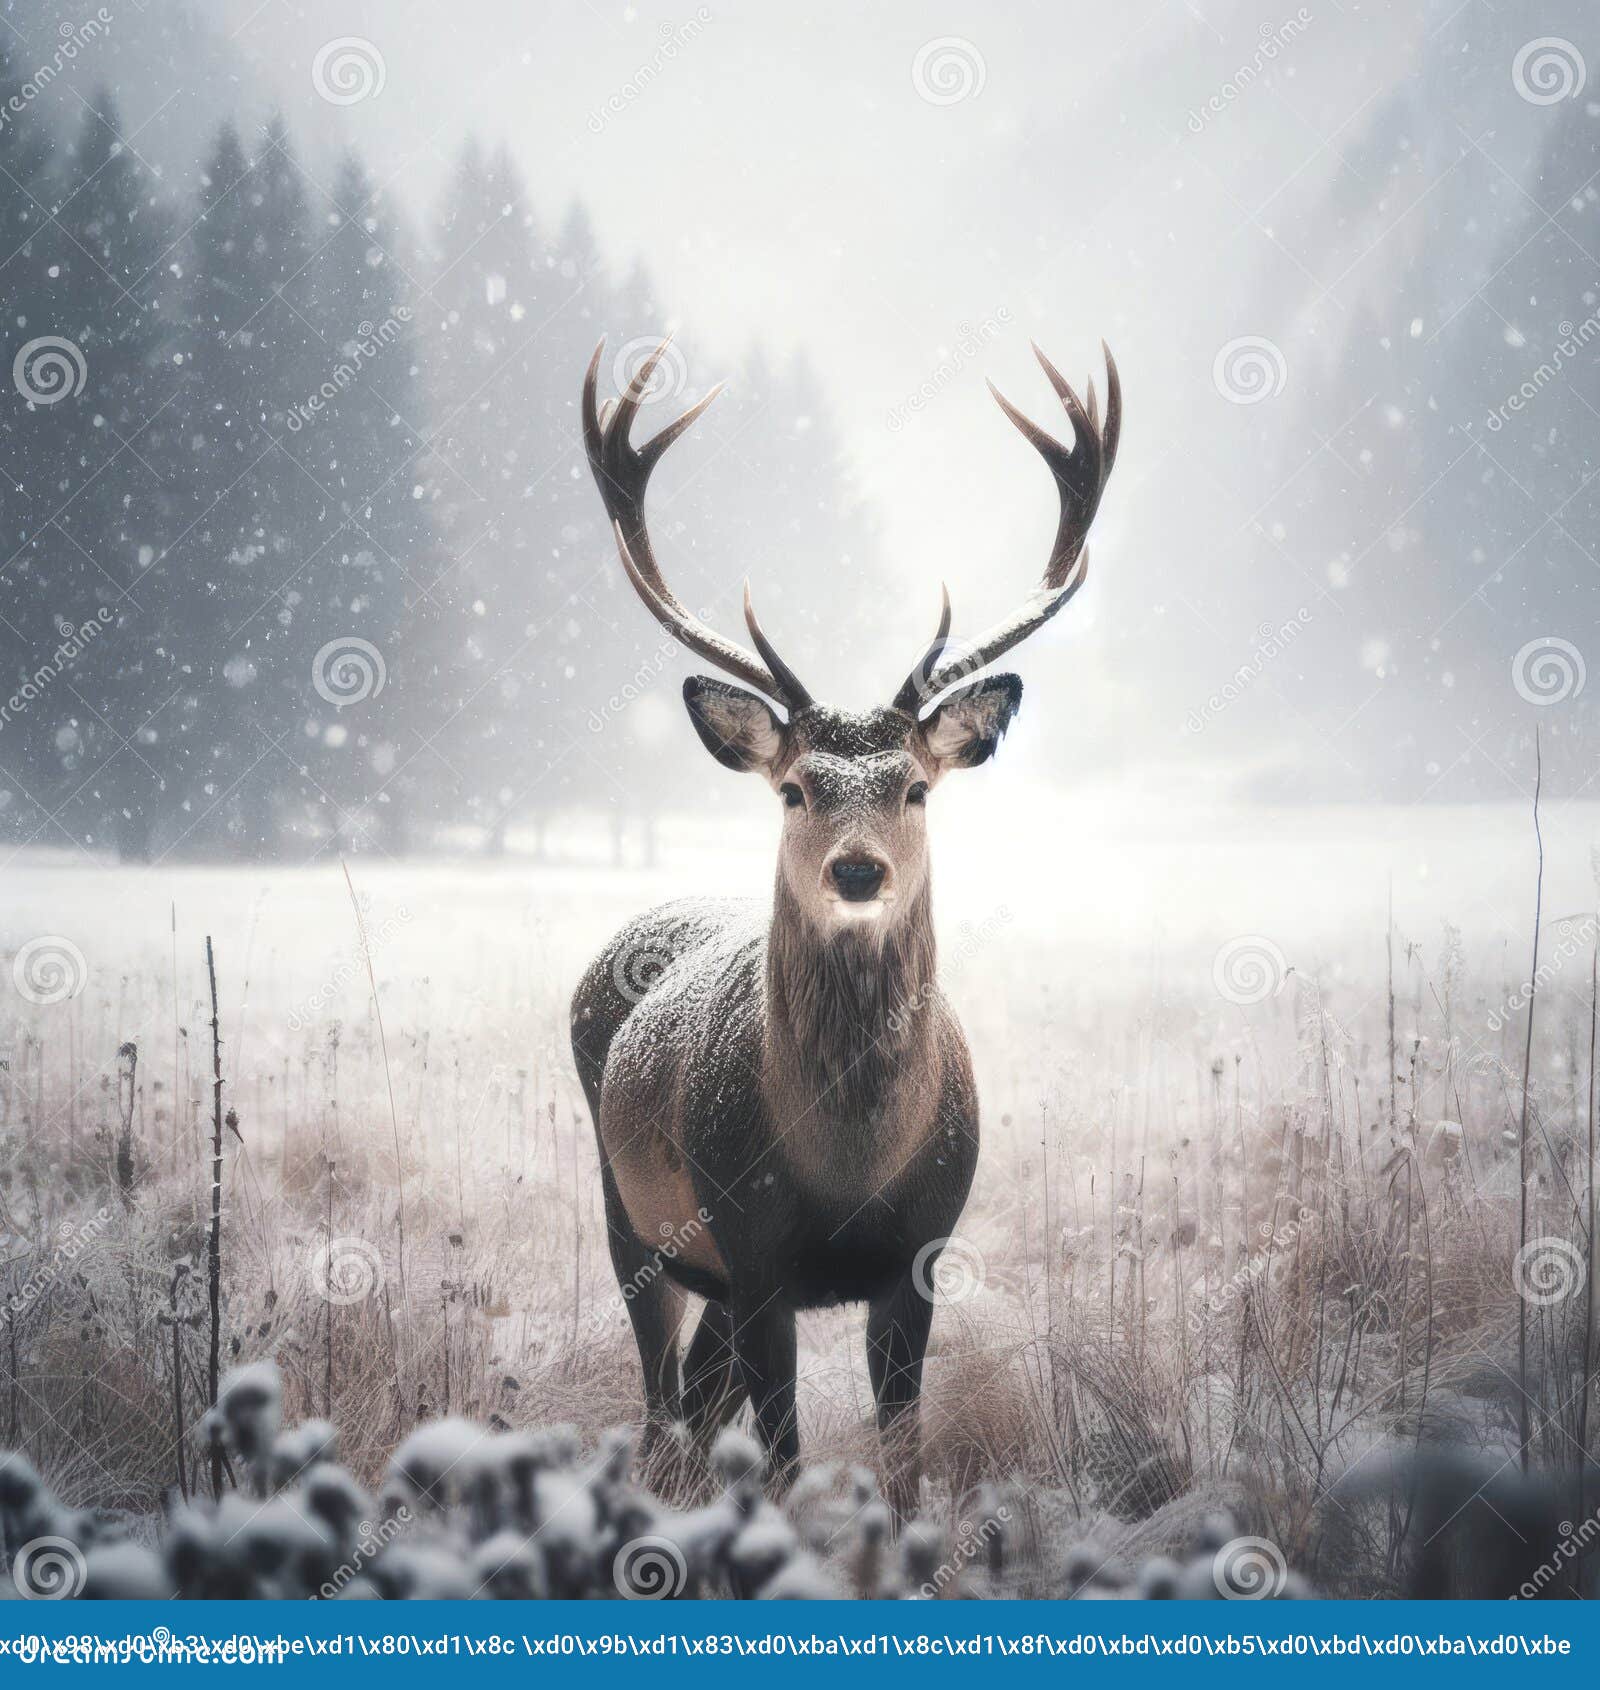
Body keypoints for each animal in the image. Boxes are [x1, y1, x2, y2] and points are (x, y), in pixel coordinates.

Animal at [570, 335, 1120, 1519]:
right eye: (794, 788)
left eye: (913, 785)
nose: (858, 868)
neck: (848, 1170)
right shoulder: (754, 1253)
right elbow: (781, 1456)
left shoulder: (920, 1255)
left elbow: (902, 1456)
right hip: (632, 1218)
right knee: (661, 1400)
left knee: (693, 1401)